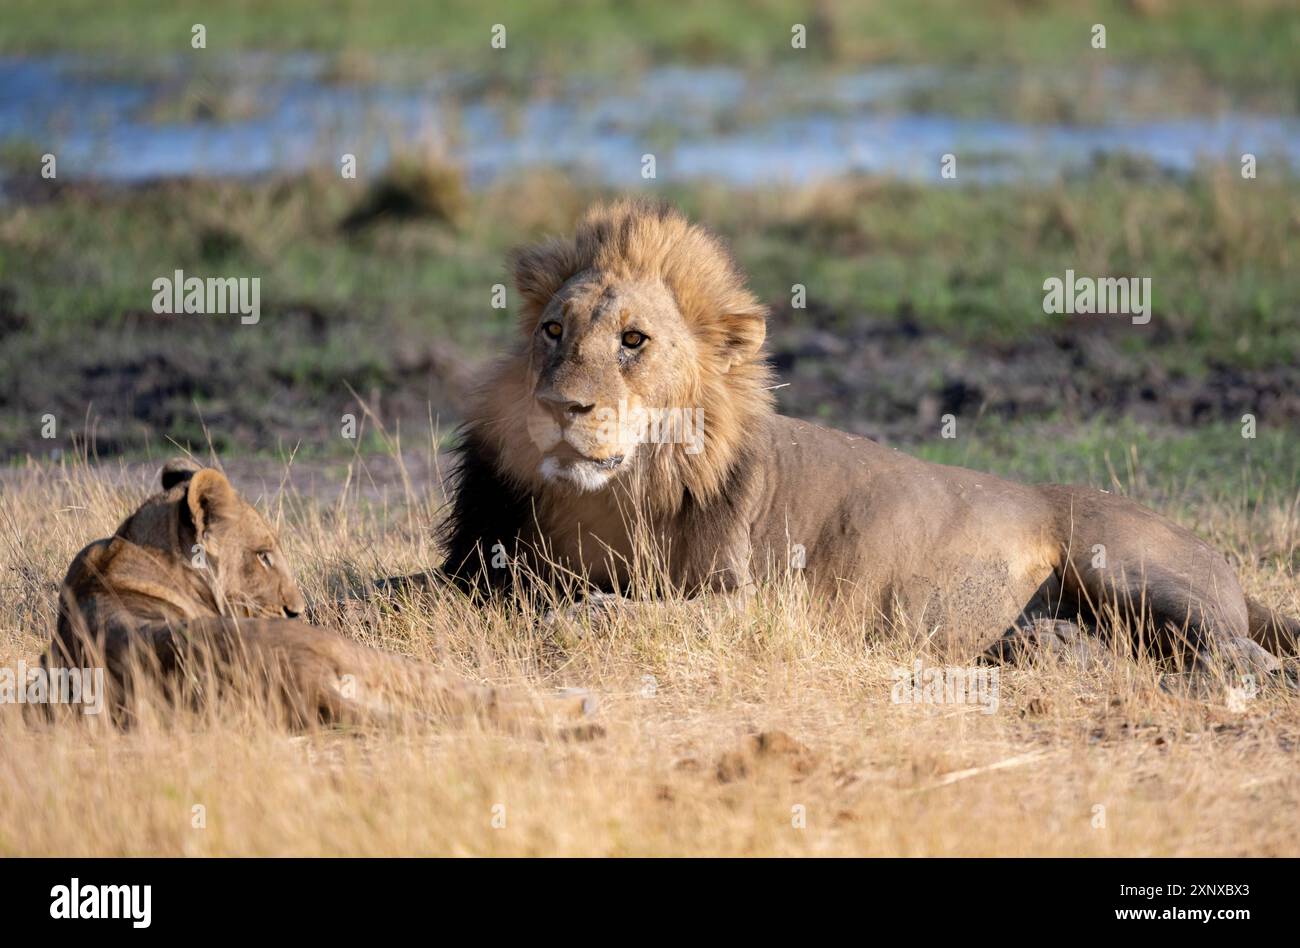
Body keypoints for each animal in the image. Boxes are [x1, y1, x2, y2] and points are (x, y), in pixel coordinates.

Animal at [44, 458, 590, 727]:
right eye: (264, 555)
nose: (297, 610)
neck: (130, 550)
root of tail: (297, 684)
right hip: (364, 655)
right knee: (483, 697)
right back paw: (581, 709)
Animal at [394, 198, 1298, 686]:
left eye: (633, 341)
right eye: (553, 331)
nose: (560, 407)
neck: (611, 495)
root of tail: (1222, 558)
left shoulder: (761, 604)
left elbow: (602, 613)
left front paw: (574, 618)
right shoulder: (478, 564)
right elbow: (397, 592)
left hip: (1127, 563)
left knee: (1246, 659)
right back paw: (1049, 649)